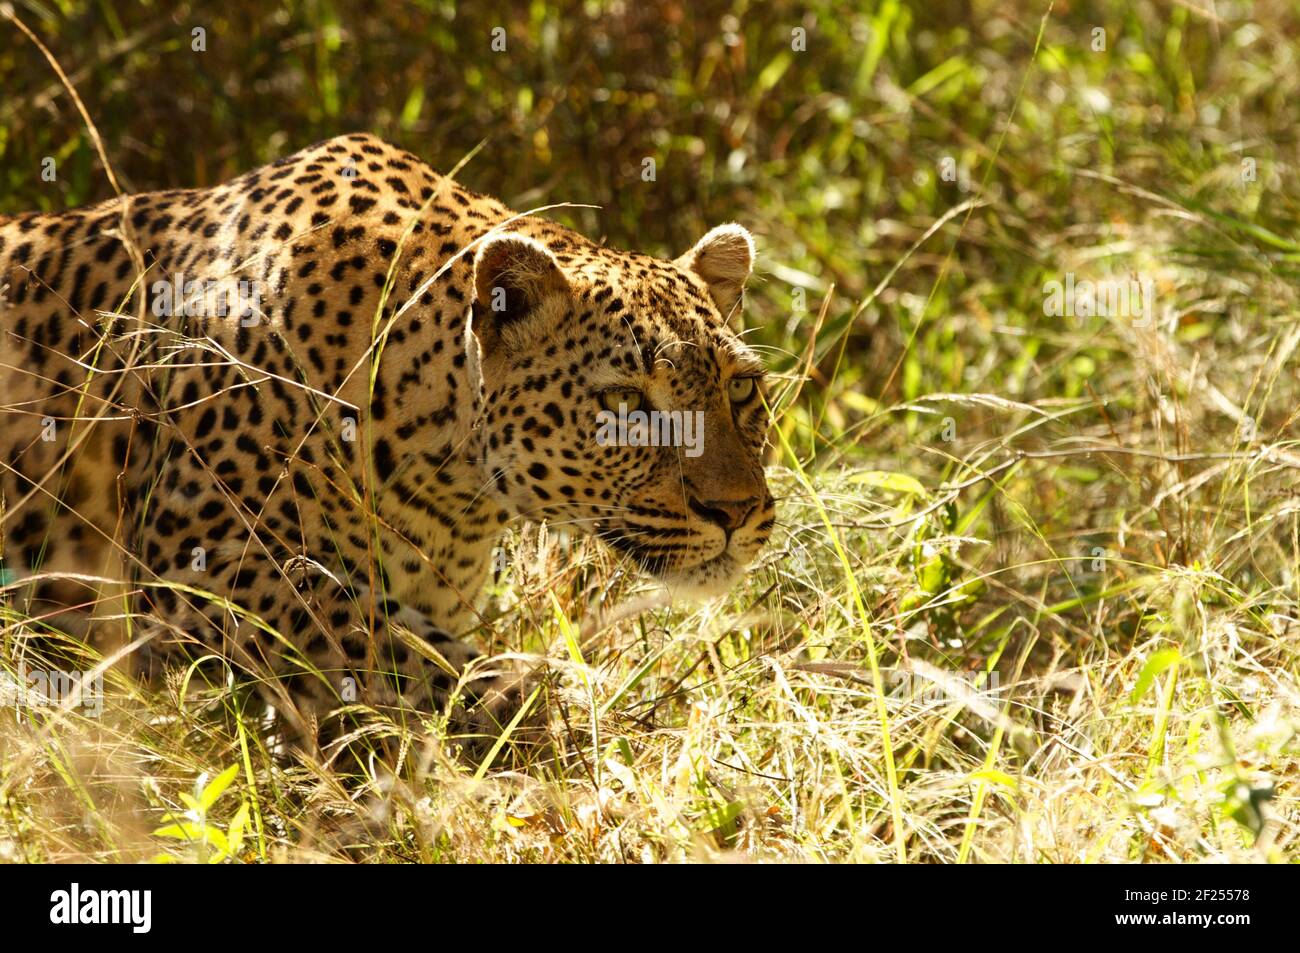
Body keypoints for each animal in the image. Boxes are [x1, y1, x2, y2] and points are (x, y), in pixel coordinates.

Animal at [0, 132, 775, 754]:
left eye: (740, 390)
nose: (735, 512)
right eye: (624, 404)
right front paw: (567, 721)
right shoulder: (201, 556)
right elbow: (401, 649)